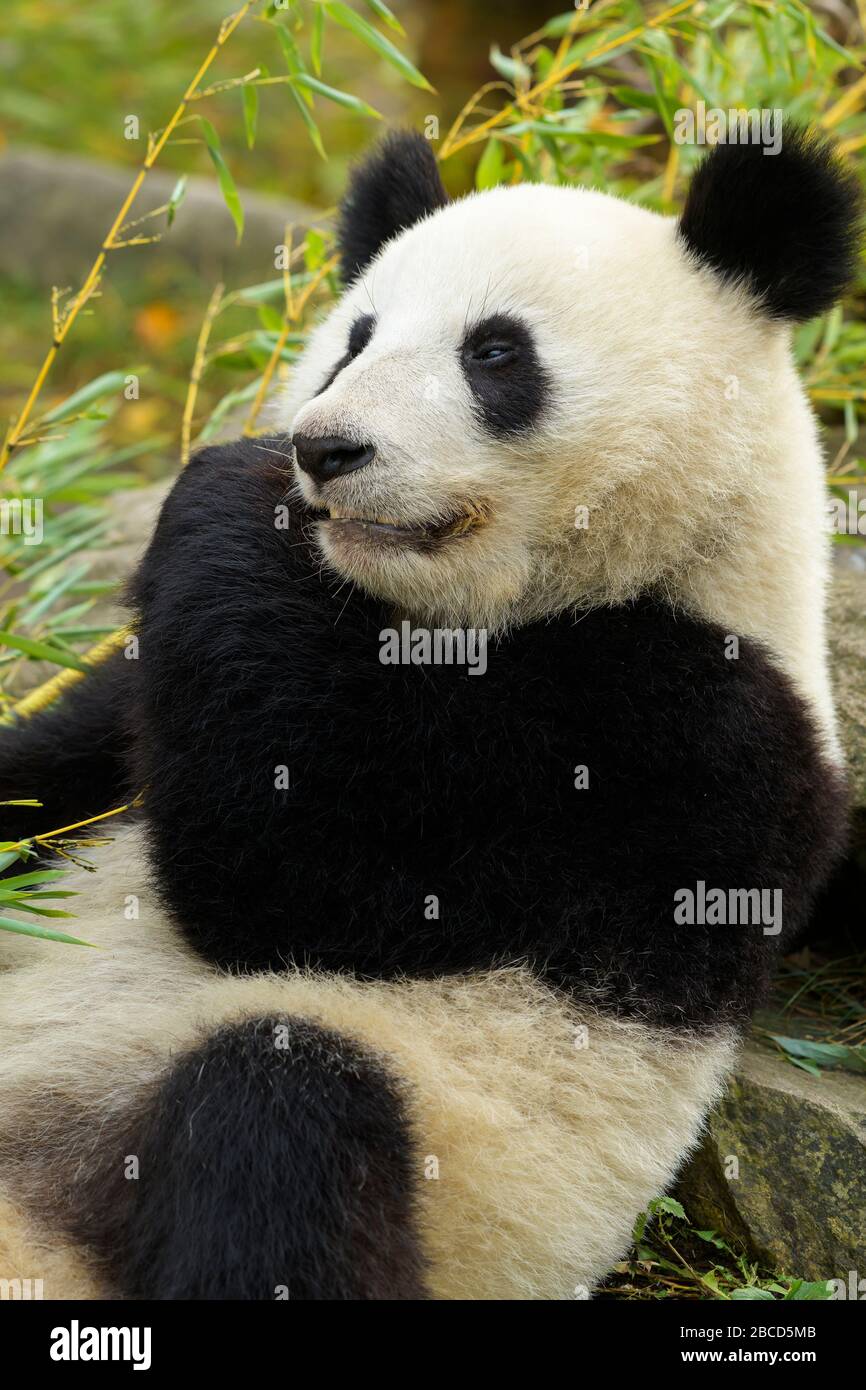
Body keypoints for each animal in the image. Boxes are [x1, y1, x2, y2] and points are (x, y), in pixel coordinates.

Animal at [0, 126, 859, 1301]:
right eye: (355, 338)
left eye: (494, 353)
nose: (324, 449)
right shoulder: (146, 690)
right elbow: (66, 759)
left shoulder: (686, 741)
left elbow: (302, 874)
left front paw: (230, 488)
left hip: (452, 1177)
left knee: (281, 1119)